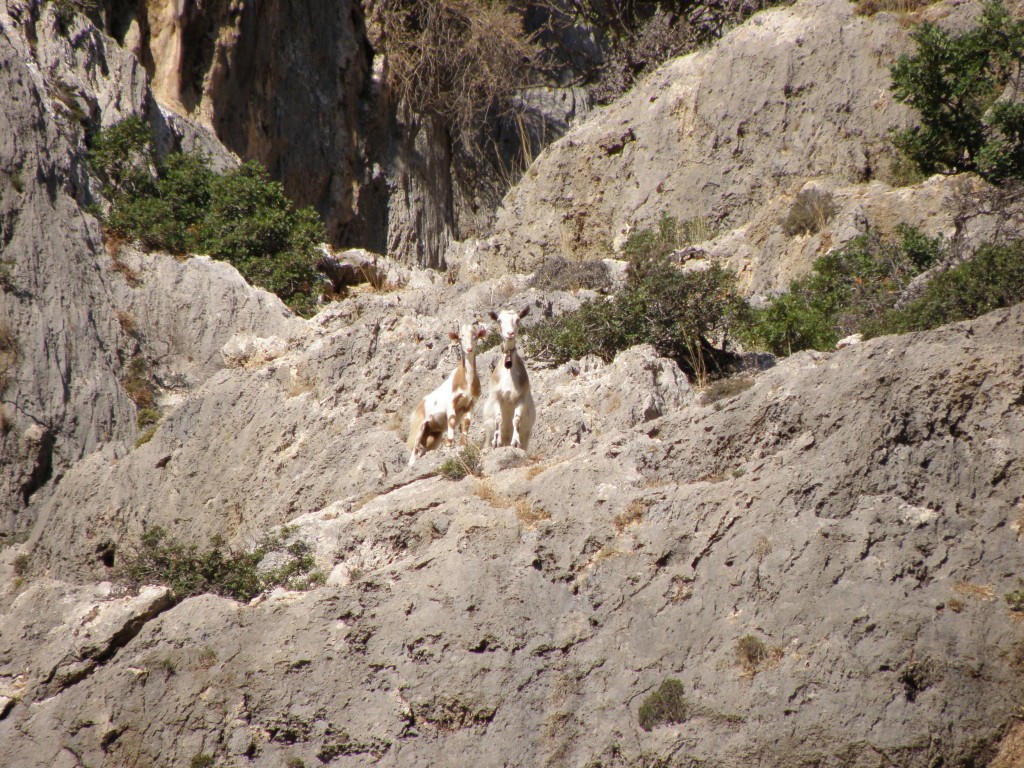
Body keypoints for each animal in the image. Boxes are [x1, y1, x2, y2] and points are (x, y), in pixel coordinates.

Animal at [407, 322, 488, 467]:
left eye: (475, 336)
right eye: (460, 338)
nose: (469, 349)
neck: (466, 382)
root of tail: (418, 407)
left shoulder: (470, 403)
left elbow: (466, 422)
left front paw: (463, 443)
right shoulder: (451, 403)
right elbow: (452, 419)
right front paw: (450, 442)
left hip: (434, 434)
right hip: (419, 427)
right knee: (414, 449)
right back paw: (412, 465)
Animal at [482, 306, 535, 451]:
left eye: (517, 319)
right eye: (499, 320)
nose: (510, 333)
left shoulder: (521, 398)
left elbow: (516, 419)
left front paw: (515, 442)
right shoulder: (497, 397)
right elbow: (498, 418)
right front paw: (496, 442)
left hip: (526, 436)